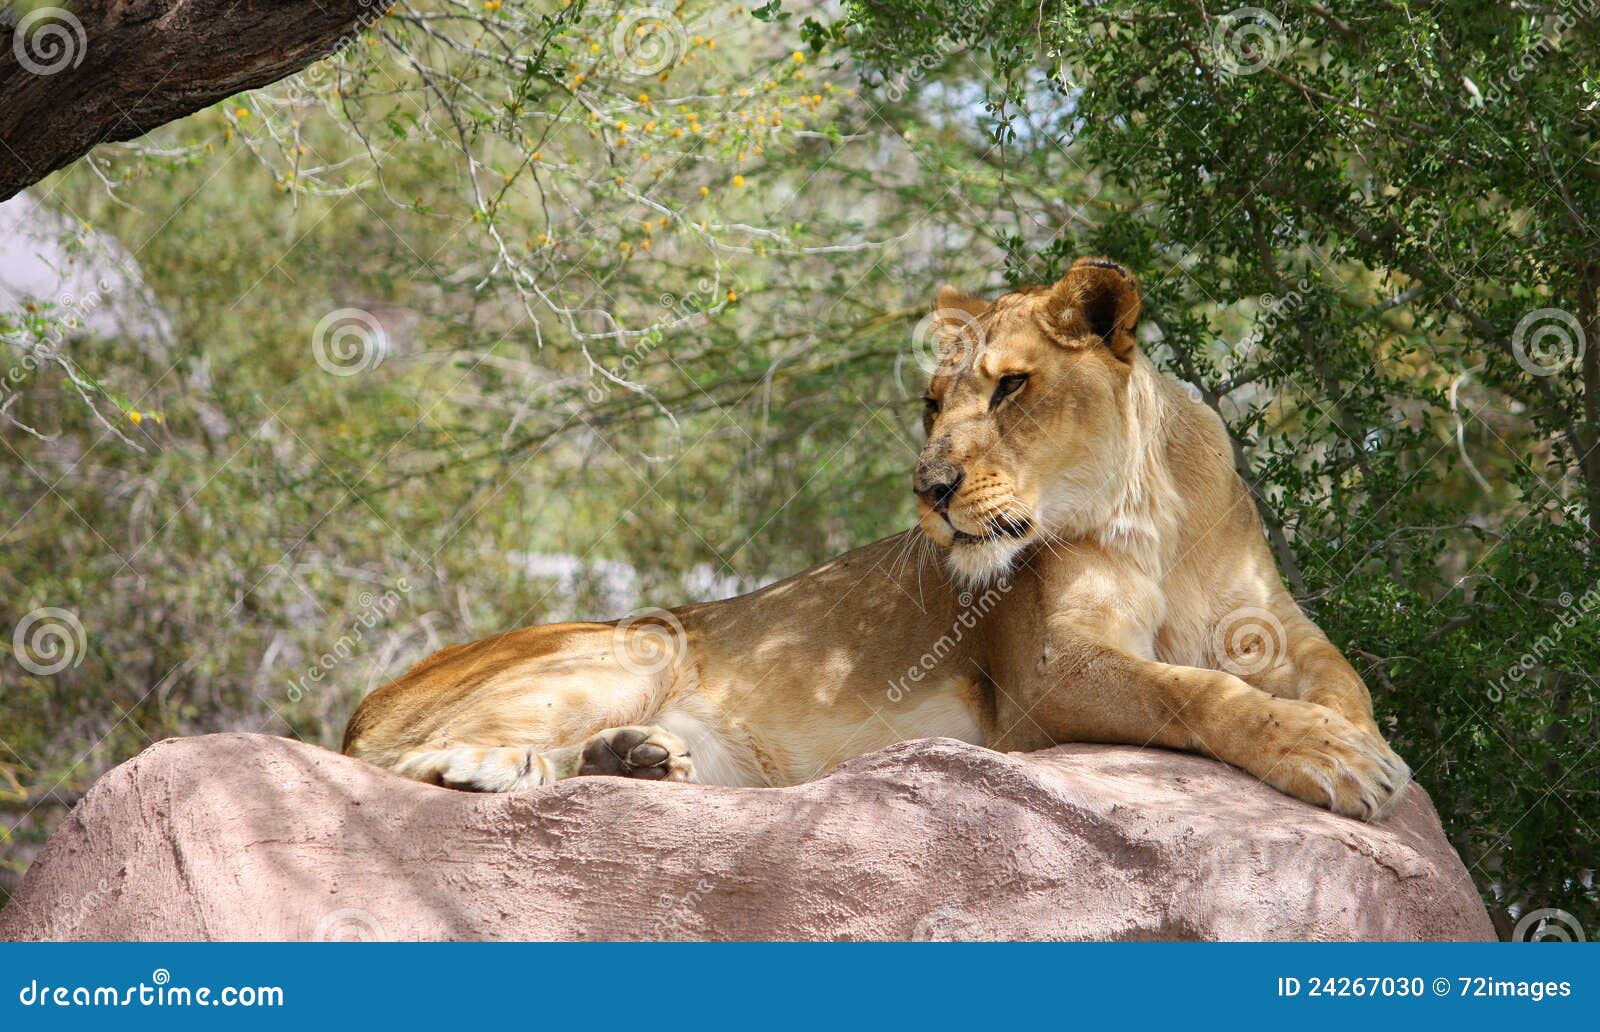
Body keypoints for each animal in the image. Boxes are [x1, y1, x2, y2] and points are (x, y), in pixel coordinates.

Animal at [342, 257, 1410, 820]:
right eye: (932, 404)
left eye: (1011, 388)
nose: (929, 490)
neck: (1152, 513)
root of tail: (362, 702)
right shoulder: (1051, 669)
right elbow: (1192, 689)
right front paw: (1333, 757)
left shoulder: (1276, 626)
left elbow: (1345, 681)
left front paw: (1353, 740)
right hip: (635, 643)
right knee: (409, 765)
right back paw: (500, 766)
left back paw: (635, 760)